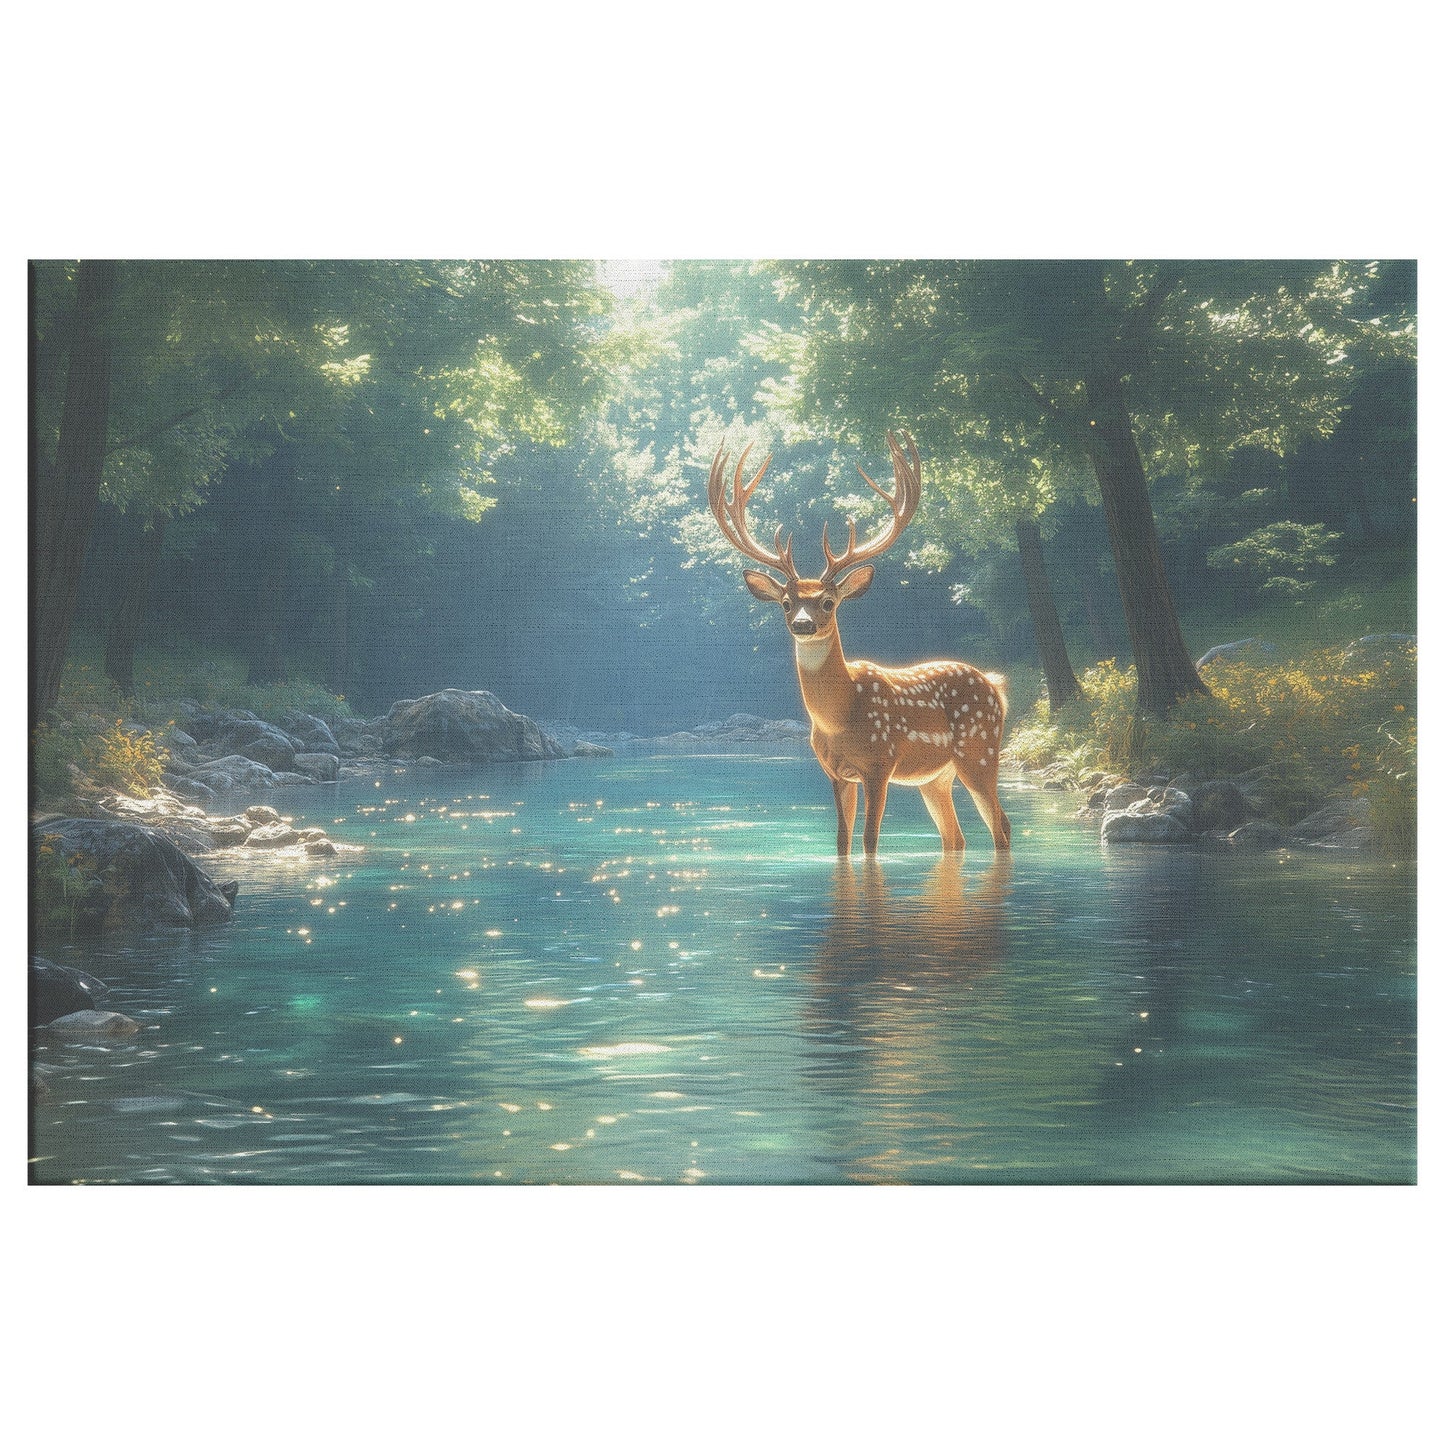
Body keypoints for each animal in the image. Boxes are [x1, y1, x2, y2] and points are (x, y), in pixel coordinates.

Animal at [708, 430, 1011, 858]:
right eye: (786, 603)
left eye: (827, 602)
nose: (802, 624)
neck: (840, 716)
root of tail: (995, 685)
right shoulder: (836, 773)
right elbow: (841, 842)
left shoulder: (880, 763)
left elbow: (869, 842)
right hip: (935, 777)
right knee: (957, 836)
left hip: (979, 751)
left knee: (1000, 827)